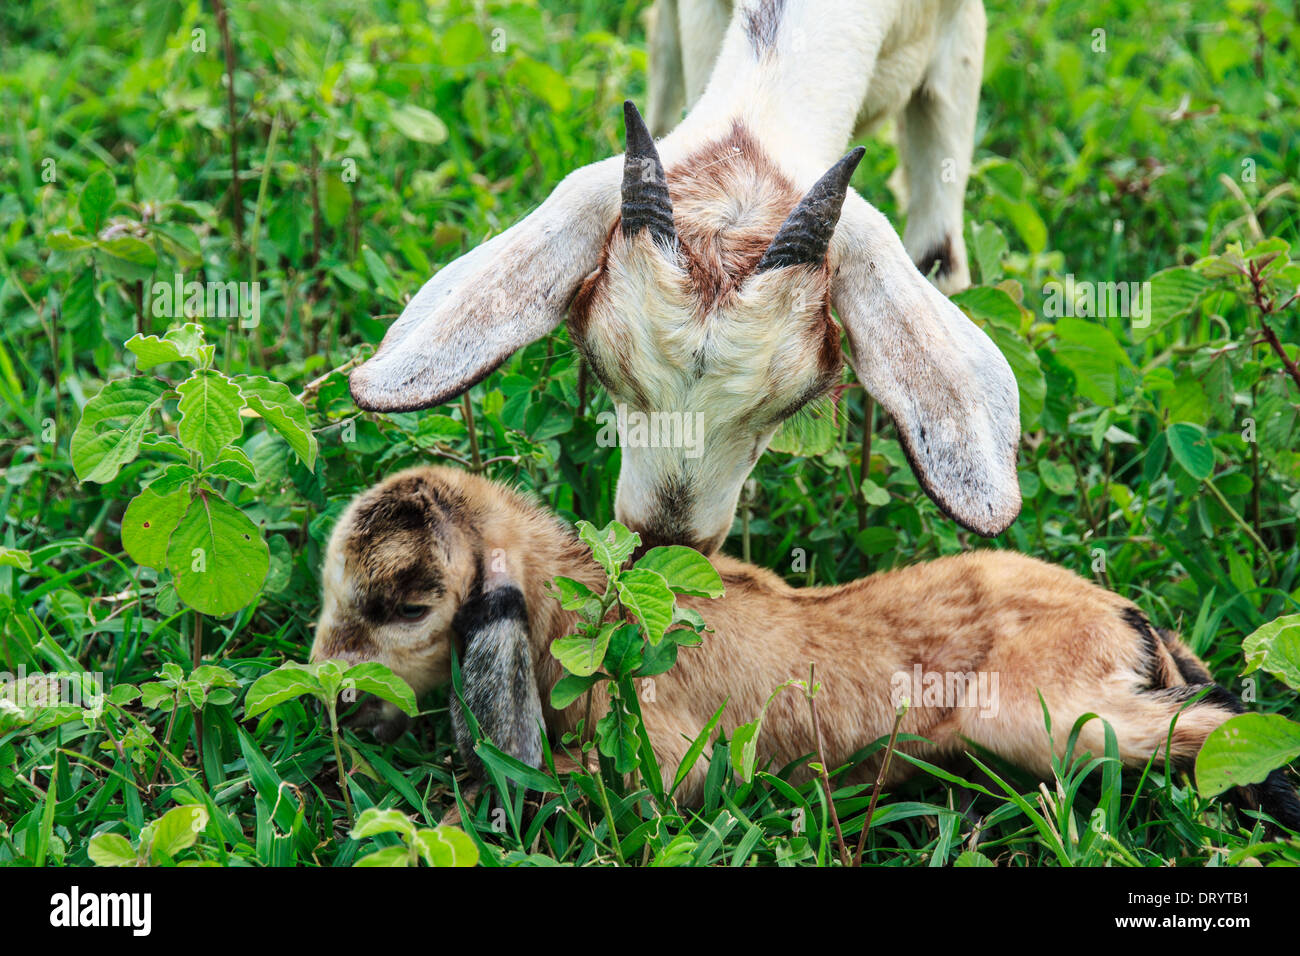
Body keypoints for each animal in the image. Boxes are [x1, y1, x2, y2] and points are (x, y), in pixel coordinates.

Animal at [310, 466, 1300, 829]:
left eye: (409, 606)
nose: (337, 695)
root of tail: (1126, 615)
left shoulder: (658, 763)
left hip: (1050, 712)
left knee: (1217, 729)